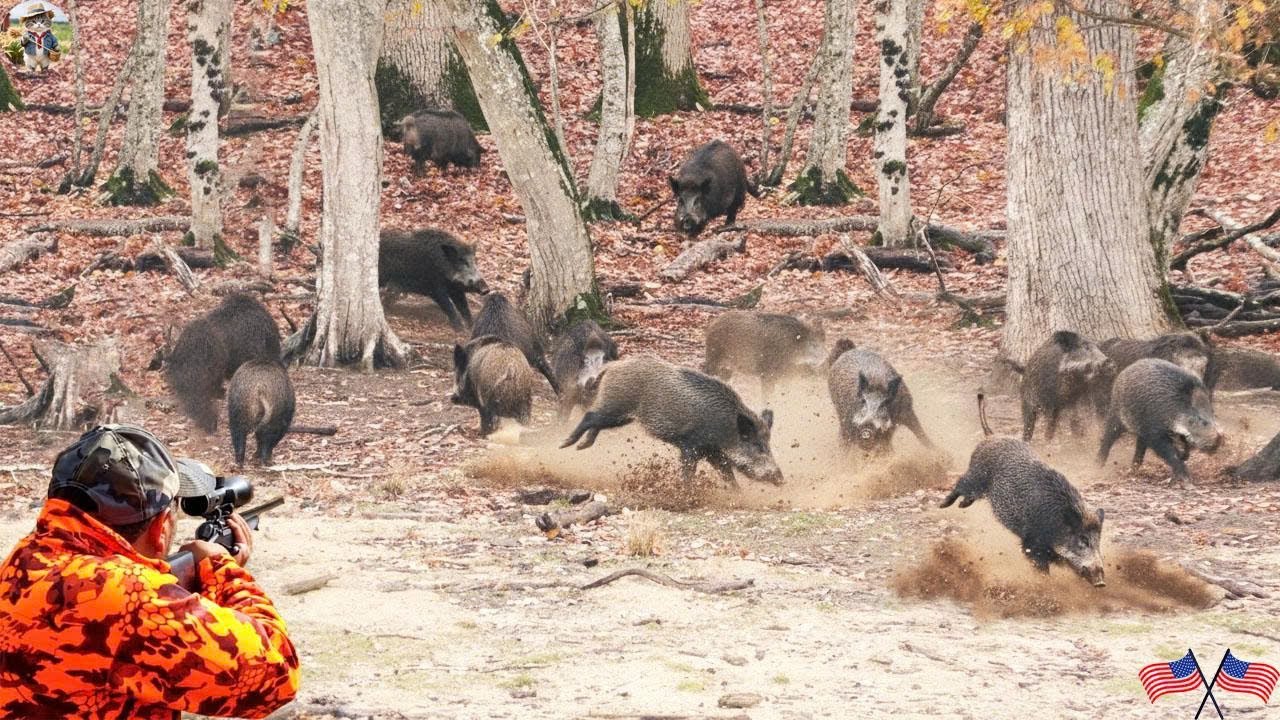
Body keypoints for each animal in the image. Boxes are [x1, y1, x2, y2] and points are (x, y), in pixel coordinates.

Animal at [560, 357, 783, 487]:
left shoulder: (713, 452)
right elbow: (689, 472)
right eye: (757, 445)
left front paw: (737, 494)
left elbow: (727, 474)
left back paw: (581, 446)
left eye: (769, 444)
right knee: (590, 416)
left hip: (621, 415)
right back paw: (566, 444)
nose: (781, 479)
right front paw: (686, 493)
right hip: (616, 405)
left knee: (596, 423)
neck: (726, 429)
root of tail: (612, 366)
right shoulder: (691, 446)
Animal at [941, 395, 1106, 587]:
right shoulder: (1032, 543)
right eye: (1083, 539)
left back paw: (962, 505)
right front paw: (1043, 581)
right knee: (960, 484)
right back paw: (943, 505)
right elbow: (1039, 565)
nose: (1101, 582)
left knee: (968, 496)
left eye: (1098, 541)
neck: (1058, 523)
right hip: (975, 476)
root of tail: (992, 436)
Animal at [1097, 358, 1223, 487]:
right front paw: (1187, 478)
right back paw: (1098, 465)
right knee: (1108, 437)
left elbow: (1184, 451)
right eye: (1201, 420)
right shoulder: (1155, 433)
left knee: (1139, 447)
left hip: (1140, 430)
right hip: (1116, 415)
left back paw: (1134, 469)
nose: (1219, 440)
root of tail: (1126, 370)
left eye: (1212, 412)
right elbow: (1171, 454)